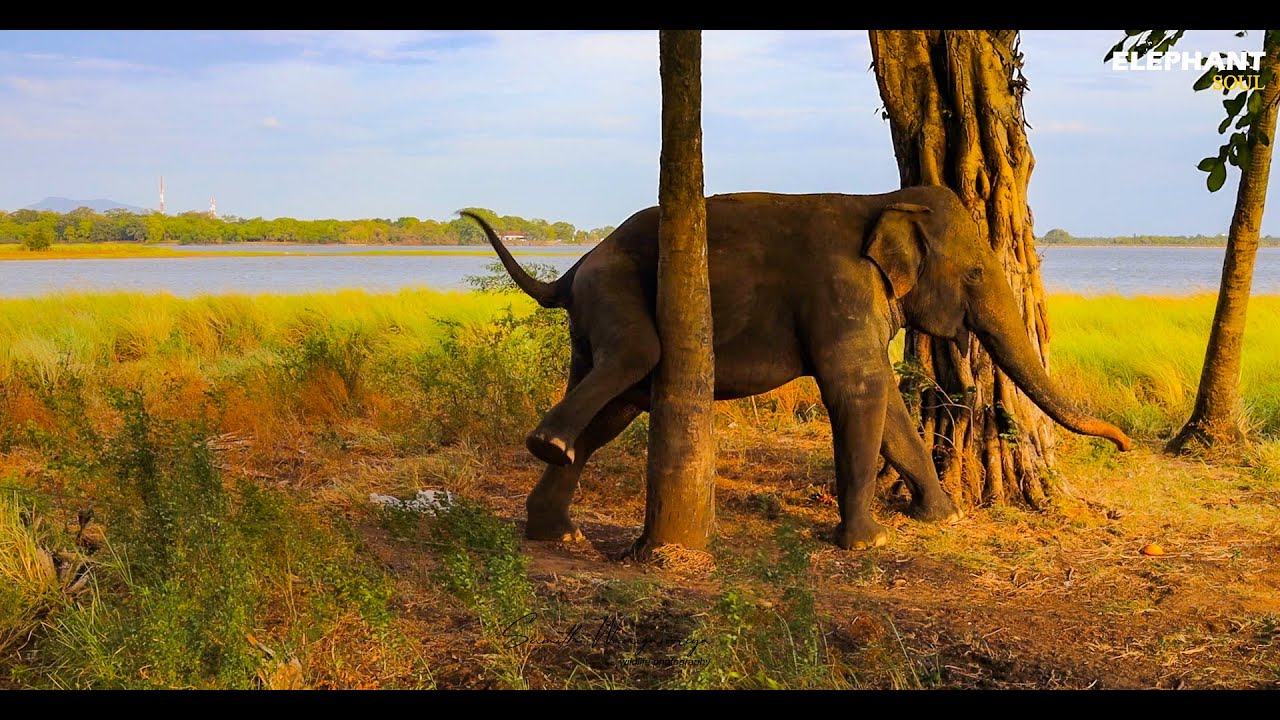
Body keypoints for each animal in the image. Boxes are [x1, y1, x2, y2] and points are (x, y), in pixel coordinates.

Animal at [462, 184, 1132, 550]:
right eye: (972, 273)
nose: (1124, 445)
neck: (883, 199)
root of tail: (572, 268)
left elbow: (886, 404)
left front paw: (940, 517)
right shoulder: (839, 288)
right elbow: (857, 391)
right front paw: (868, 543)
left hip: (597, 304)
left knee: (616, 405)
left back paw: (557, 529)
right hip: (615, 287)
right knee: (634, 360)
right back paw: (547, 448)